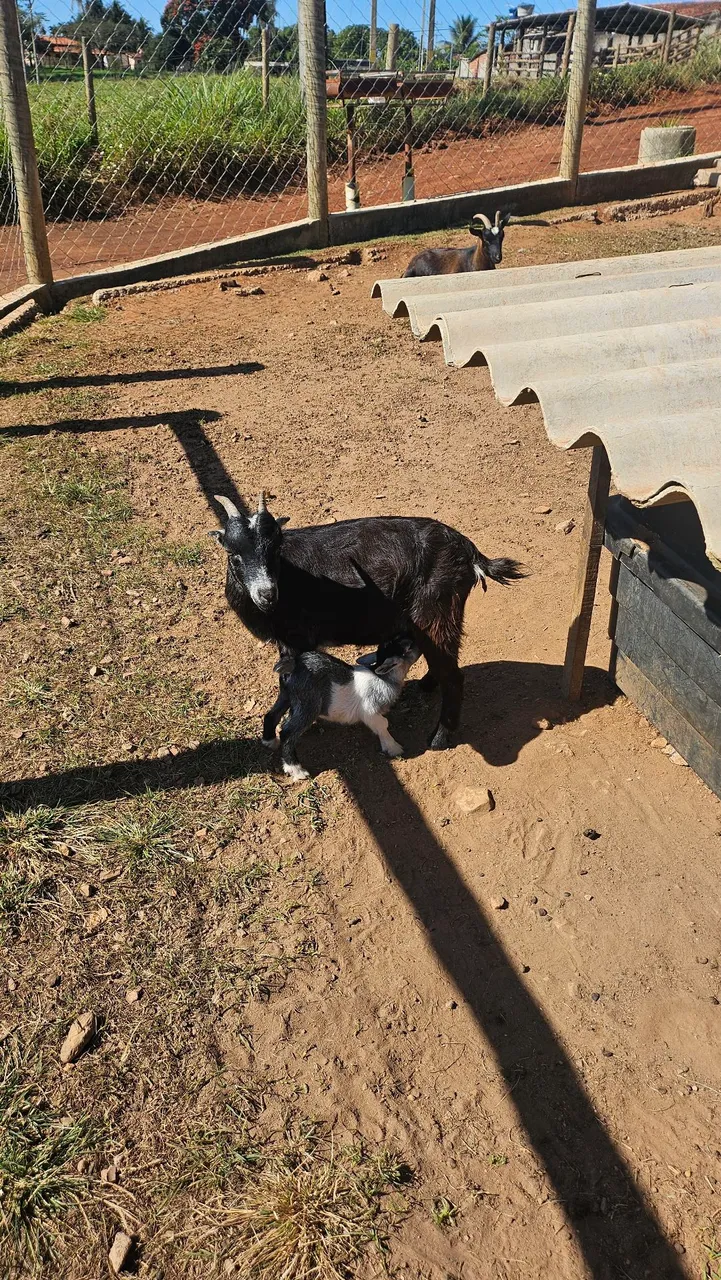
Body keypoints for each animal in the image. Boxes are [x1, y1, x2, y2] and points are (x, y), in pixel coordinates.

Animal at [209, 493, 524, 750]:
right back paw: (426, 685)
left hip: (436, 612)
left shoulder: (297, 639)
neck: (288, 576)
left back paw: (439, 739)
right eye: (232, 553)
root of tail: (469, 551)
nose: (267, 594)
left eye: (275, 549)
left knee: (454, 677)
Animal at [263, 636, 421, 779]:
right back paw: (296, 770)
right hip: (308, 704)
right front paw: (394, 748)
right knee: (287, 732)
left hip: (286, 695)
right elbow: (383, 725)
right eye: (407, 649)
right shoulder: (370, 712)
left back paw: (269, 741)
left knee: (271, 715)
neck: (383, 678)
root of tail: (294, 663)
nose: (418, 642)